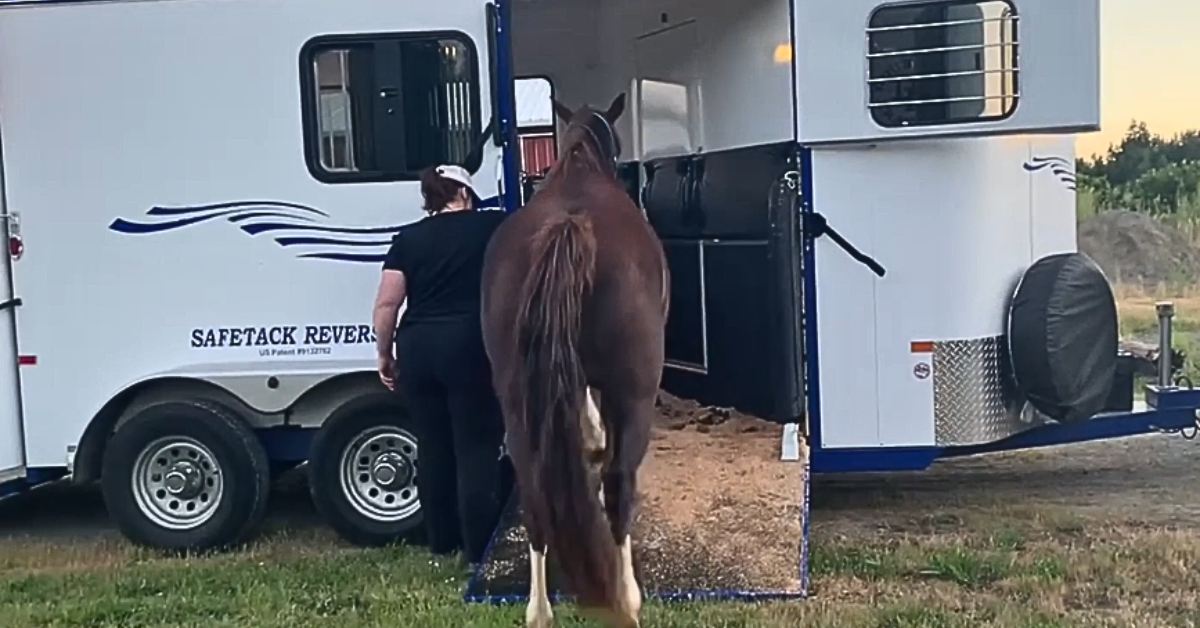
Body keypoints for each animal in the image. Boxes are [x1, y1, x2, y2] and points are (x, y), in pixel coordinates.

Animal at [479, 93, 669, 628]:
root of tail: (569, 226)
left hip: (515, 400)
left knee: (533, 495)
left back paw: (539, 610)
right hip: (634, 394)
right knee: (618, 486)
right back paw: (627, 600)